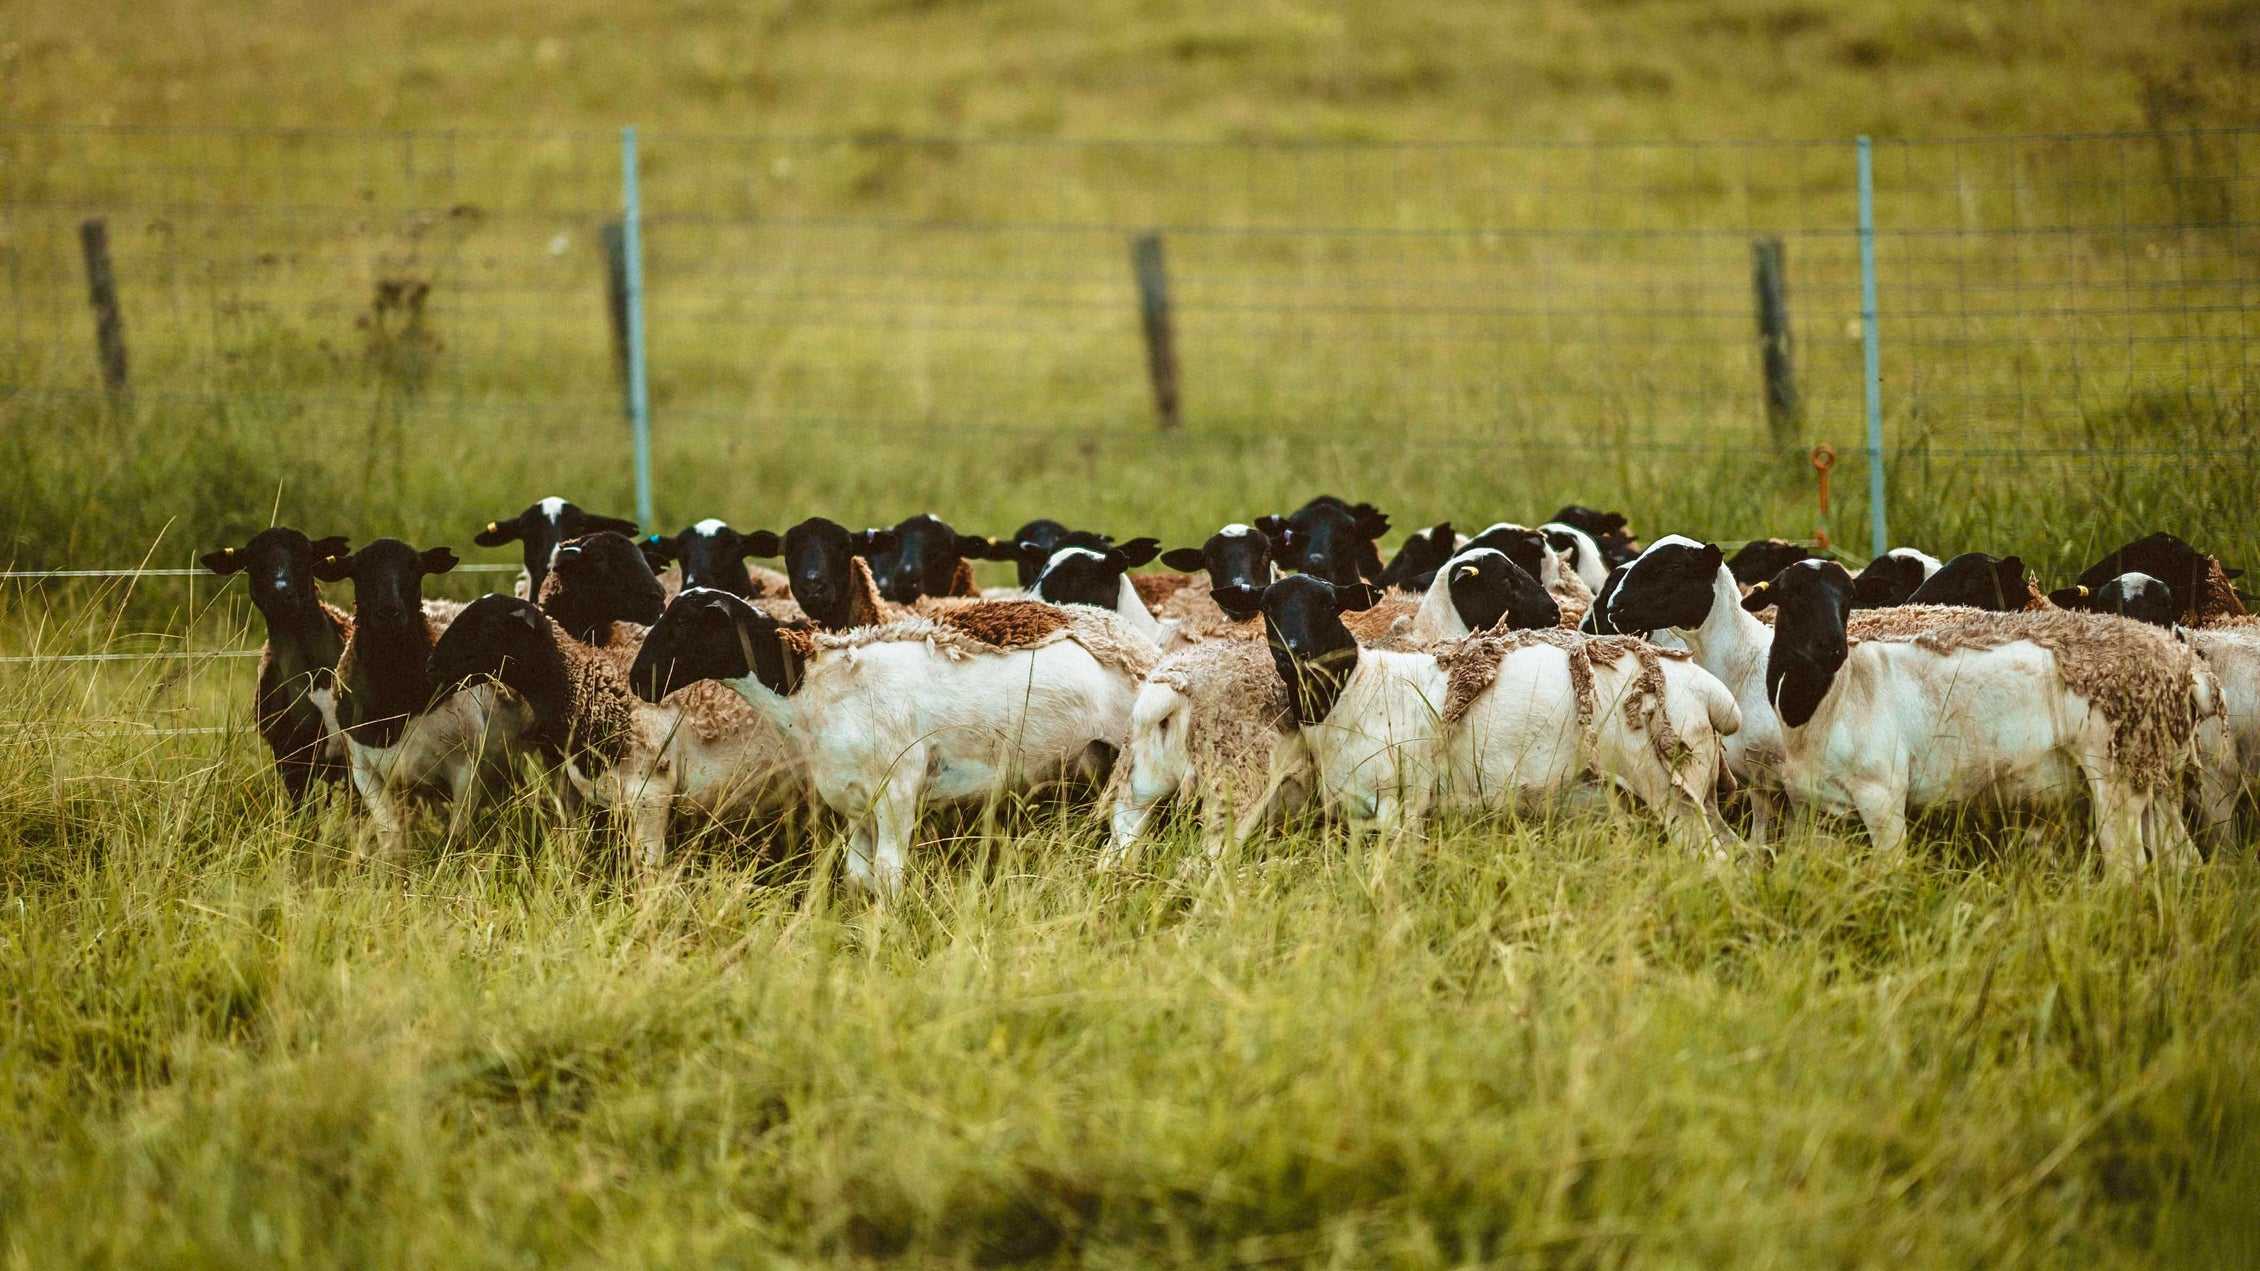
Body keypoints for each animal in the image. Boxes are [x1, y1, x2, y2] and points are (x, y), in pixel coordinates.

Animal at [314, 540, 532, 856]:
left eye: (415, 568)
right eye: (358, 571)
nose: (388, 612)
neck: (396, 699)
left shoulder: (465, 768)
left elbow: (457, 836)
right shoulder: (364, 772)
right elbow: (390, 835)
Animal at [631, 591, 1158, 891]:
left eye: (683, 623)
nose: (637, 681)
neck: (811, 689)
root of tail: (1139, 641)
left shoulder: (897, 790)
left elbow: (888, 874)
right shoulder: (855, 800)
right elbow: (858, 874)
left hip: (1134, 758)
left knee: (1128, 832)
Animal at [1259, 577, 1741, 853]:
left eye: (1327, 604)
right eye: (1268, 608)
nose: (1293, 652)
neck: (1356, 688)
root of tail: (1707, 688)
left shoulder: (1401, 805)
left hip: (1666, 784)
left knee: (1711, 856)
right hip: (1696, 788)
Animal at [1747, 559, 2217, 876]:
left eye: (1847, 598)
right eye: (1792, 595)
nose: (1833, 647)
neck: (1829, 698)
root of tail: (2185, 669)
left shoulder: (1881, 796)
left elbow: (1891, 871)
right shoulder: (1817, 814)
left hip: (2116, 773)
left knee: (2128, 868)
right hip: (2160, 776)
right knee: (2183, 858)